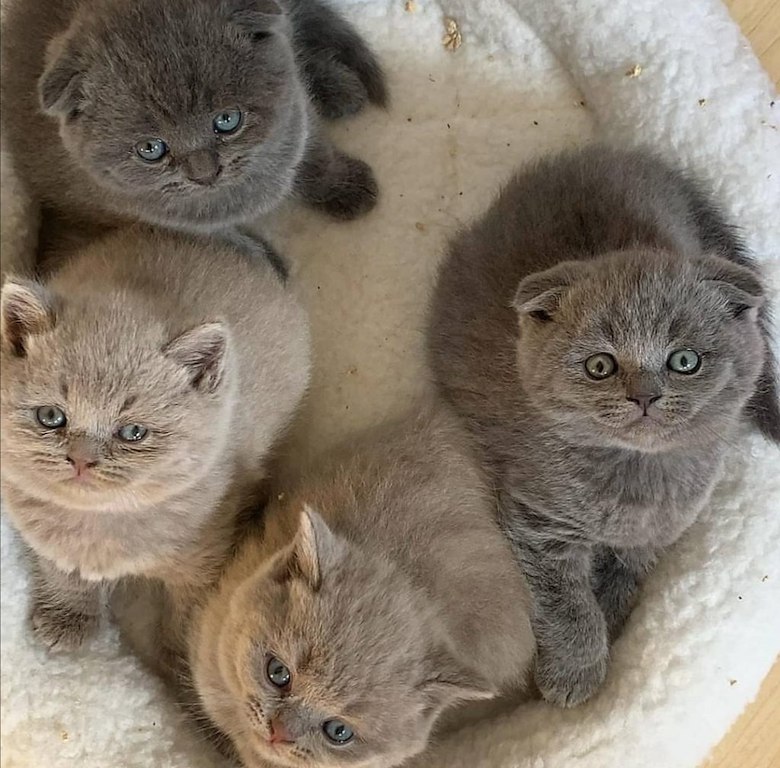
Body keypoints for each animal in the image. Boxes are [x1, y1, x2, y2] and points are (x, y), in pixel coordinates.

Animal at [0, 225, 310, 652]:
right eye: (51, 417)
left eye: (133, 433)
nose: (81, 460)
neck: (99, 522)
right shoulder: (48, 538)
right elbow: (63, 572)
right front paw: (68, 616)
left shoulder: (206, 556)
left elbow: (193, 610)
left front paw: (177, 654)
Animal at [1, 0, 386, 243]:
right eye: (151, 149)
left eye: (227, 120)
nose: (204, 173)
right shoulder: (152, 217)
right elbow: (228, 243)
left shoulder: (295, 112)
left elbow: (314, 151)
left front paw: (345, 186)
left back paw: (339, 89)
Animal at [426, 144, 780, 708]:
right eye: (599, 366)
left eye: (684, 361)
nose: (644, 396)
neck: (636, 478)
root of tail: (617, 155)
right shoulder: (536, 520)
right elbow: (565, 601)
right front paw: (575, 669)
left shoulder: (655, 536)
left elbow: (620, 582)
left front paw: (605, 630)